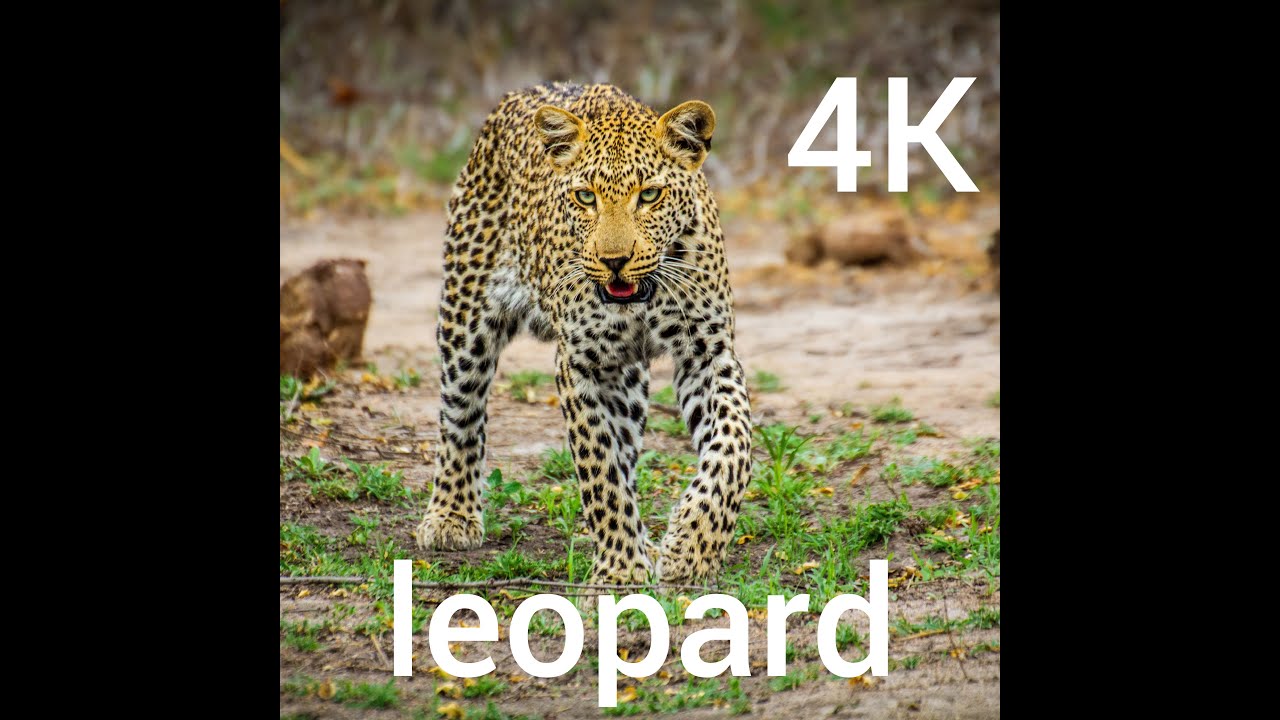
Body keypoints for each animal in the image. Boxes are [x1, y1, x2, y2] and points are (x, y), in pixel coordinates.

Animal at [415, 82, 753, 589]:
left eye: (650, 195)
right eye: (585, 197)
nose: (614, 260)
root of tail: (518, 95)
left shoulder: (708, 352)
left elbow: (734, 447)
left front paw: (691, 547)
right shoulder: (578, 363)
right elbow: (599, 469)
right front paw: (621, 570)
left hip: (626, 378)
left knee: (628, 447)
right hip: (465, 318)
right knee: (460, 417)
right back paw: (450, 515)